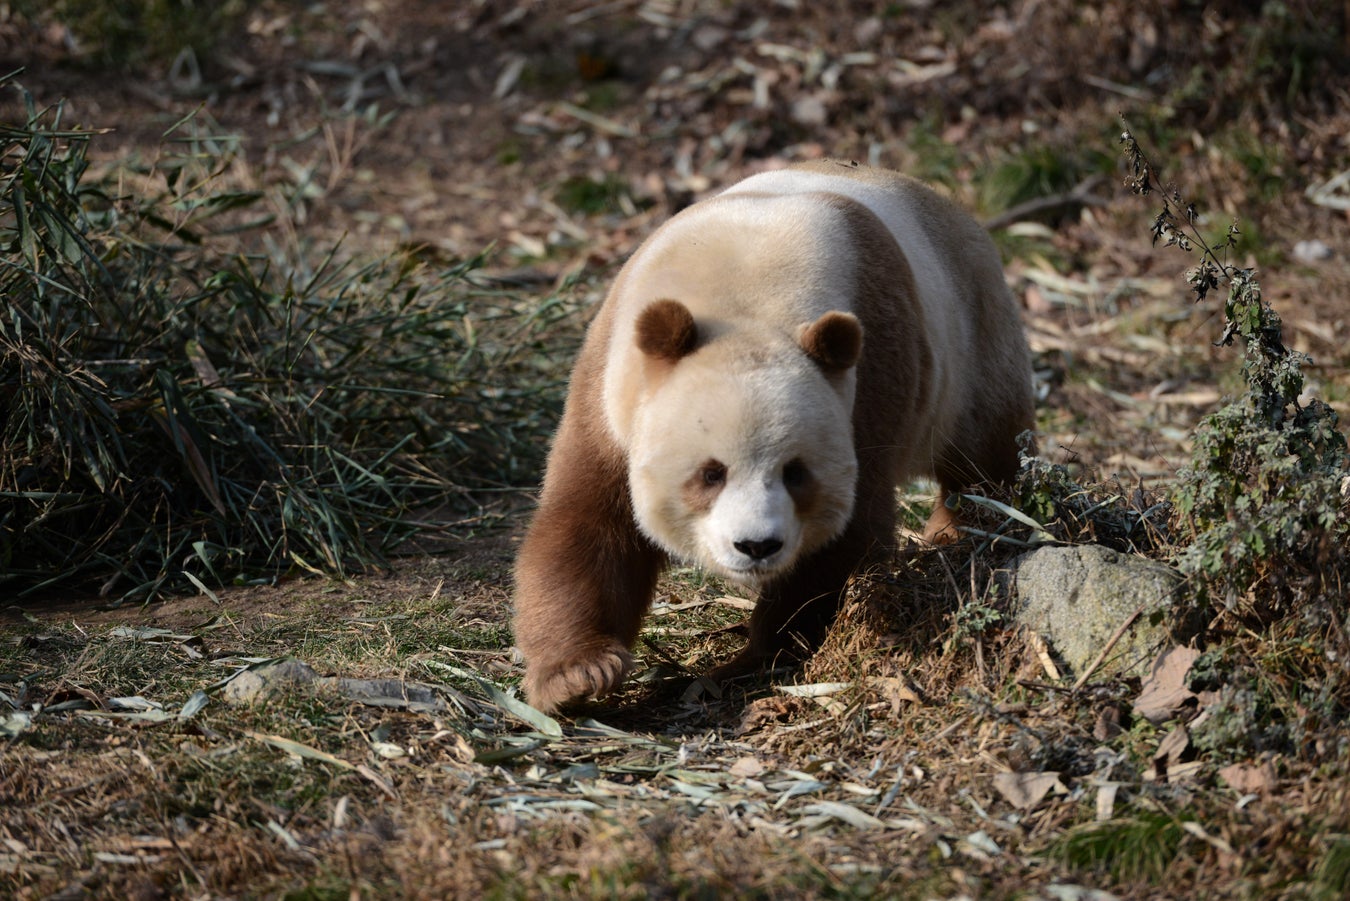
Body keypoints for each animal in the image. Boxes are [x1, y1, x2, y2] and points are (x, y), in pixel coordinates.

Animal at [512, 160, 1034, 713]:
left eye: (795, 473)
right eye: (711, 474)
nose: (756, 546)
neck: (746, 299)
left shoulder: (869, 372)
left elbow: (845, 533)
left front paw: (759, 654)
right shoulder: (614, 381)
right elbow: (590, 519)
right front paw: (578, 675)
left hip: (970, 337)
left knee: (984, 457)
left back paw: (963, 531)